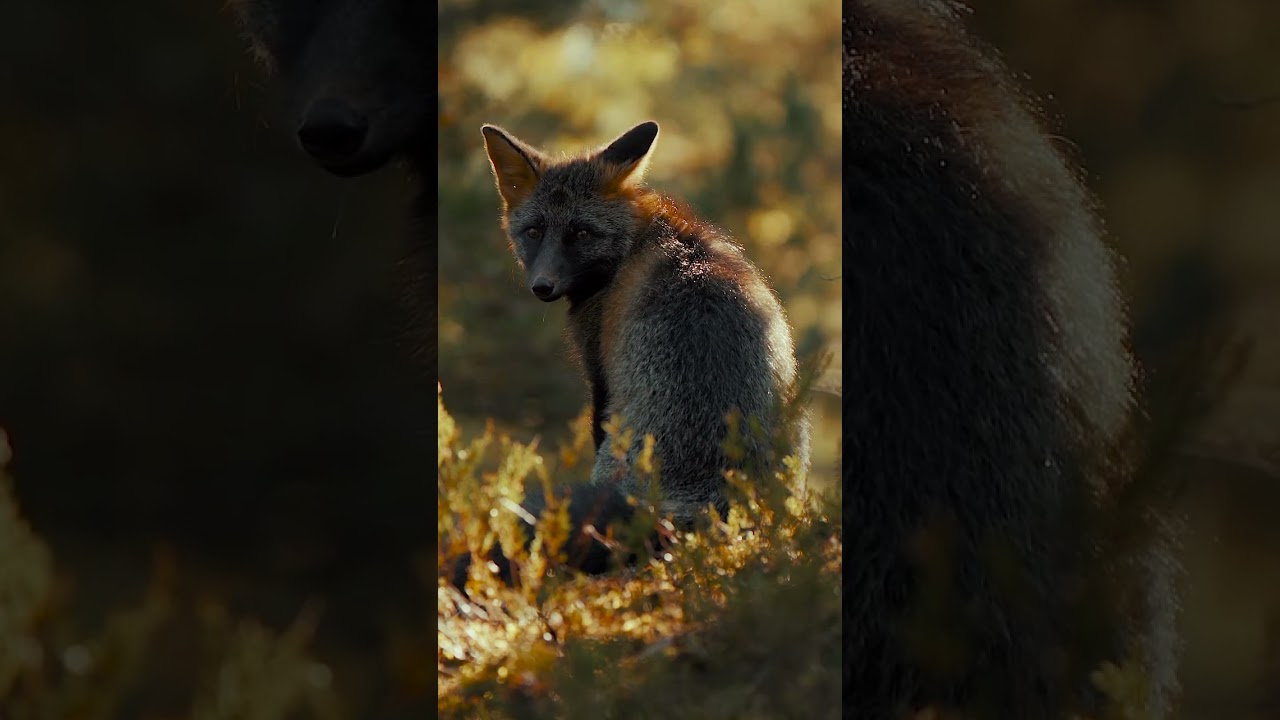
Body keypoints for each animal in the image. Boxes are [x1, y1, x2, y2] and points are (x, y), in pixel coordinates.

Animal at [480, 120, 811, 534]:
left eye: (581, 233)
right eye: (534, 232)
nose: (543, 286)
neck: (631, 244)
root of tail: (704, 505)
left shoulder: (600, 373)